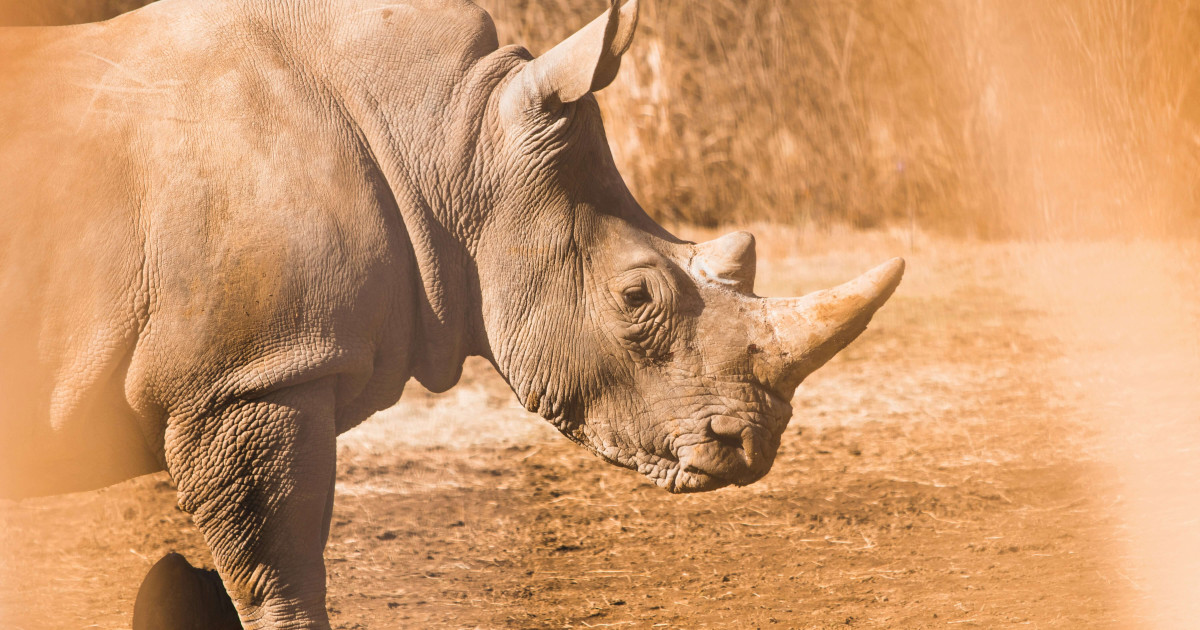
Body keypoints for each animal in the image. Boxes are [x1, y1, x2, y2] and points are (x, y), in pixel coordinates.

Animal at [0, 0, 903, 627]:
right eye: (635, 297)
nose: (751, 448)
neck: (451, 140)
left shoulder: (254, 370)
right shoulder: (251, 373)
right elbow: (279, 572)